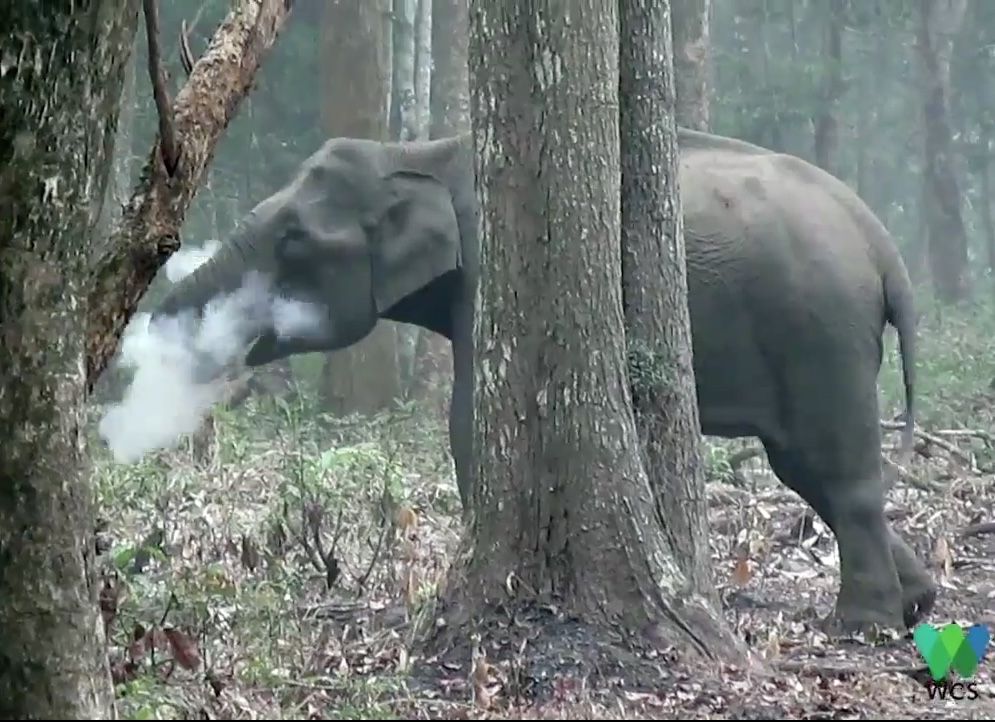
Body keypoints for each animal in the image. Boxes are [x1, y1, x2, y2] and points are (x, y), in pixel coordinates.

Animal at [149, 127, 935, 636]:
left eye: (293, 241)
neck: (419, 153)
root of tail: (883, 247)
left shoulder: (493, 272)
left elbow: (469, 420)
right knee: (808, 470)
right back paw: (918, 605)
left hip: (820, 330)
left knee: (836, 471)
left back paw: (861, 627)